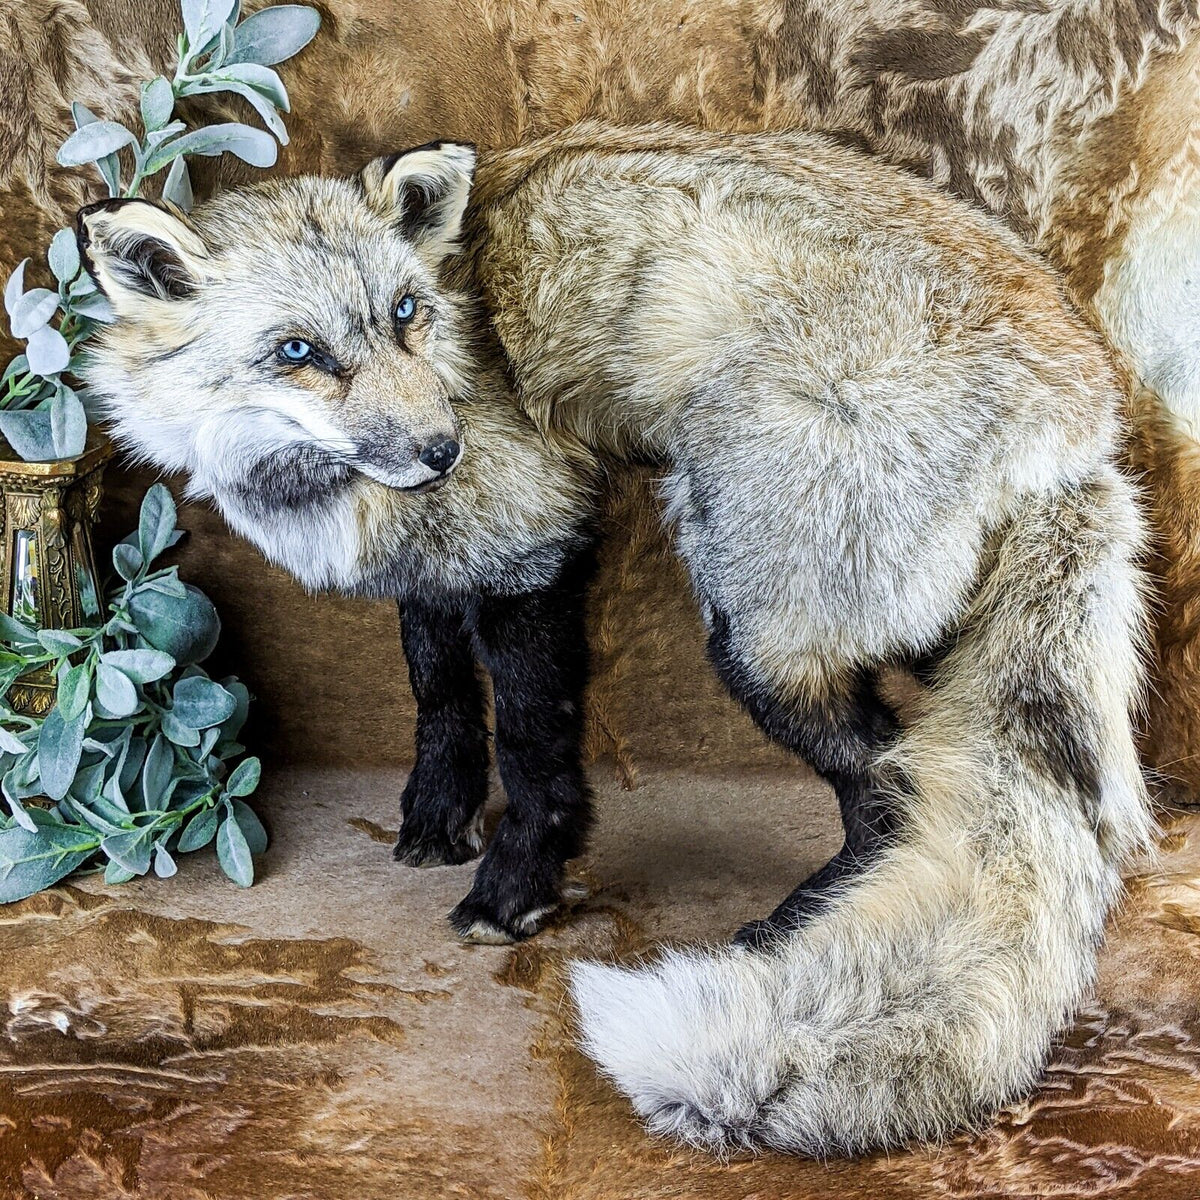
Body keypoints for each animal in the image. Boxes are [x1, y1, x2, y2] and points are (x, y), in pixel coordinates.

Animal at [75, 122, 1152, 1157]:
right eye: (297, 351)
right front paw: (437, 817)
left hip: (751, 624)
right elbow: (438, 694)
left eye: (406, 313)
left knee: (887, 788)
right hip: (927, 624)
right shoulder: (439, 562)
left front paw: (517, 888)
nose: (443, 449)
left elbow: (531, 743)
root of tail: (1083, 411)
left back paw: (799, 924)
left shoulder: (537, 549)